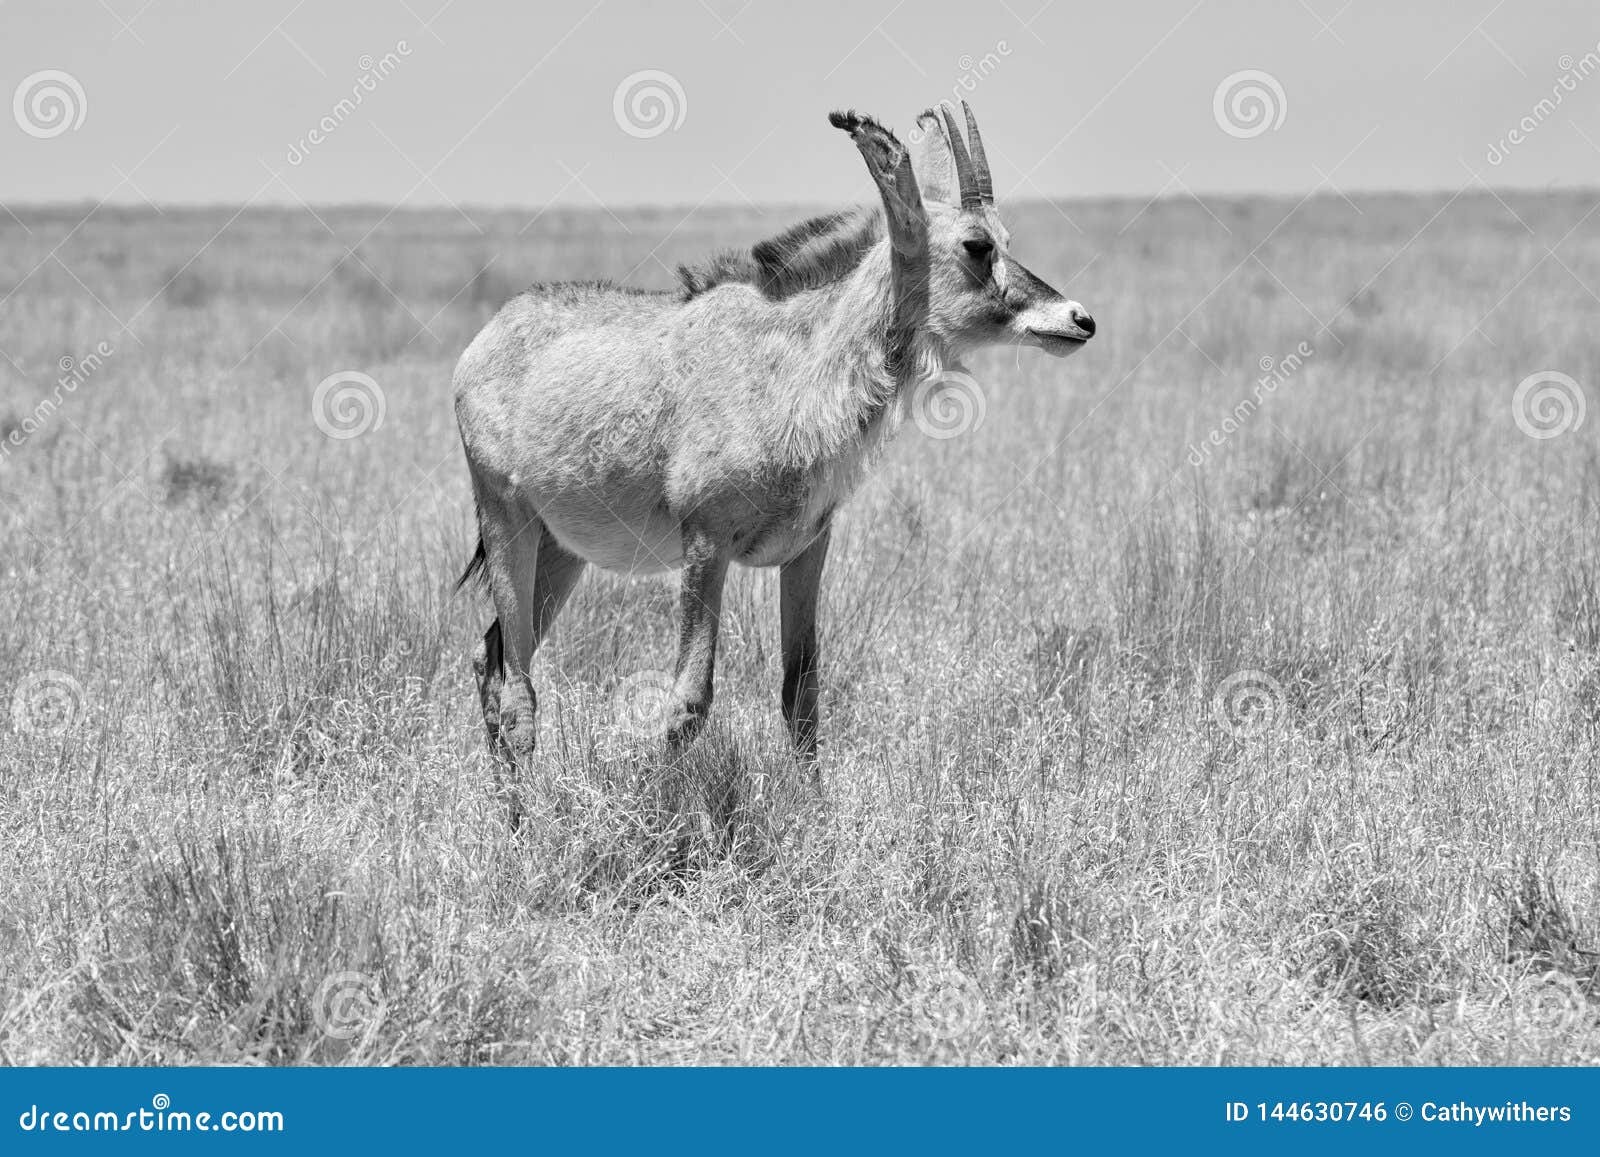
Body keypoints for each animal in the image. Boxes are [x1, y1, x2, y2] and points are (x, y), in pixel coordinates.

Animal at [454, 103, 1094, 824]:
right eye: (977, 246)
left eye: (1005, 238)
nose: (1079, 319)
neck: (795, 366)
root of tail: (483, 343)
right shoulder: (706, 545)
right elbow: (688, 700)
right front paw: (661, 816)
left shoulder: (808, 549)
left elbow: (802, 693)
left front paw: (819, 821)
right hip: (507, 522)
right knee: (517, 689)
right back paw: (519, 826)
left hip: (562, 553)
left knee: (490, 656)